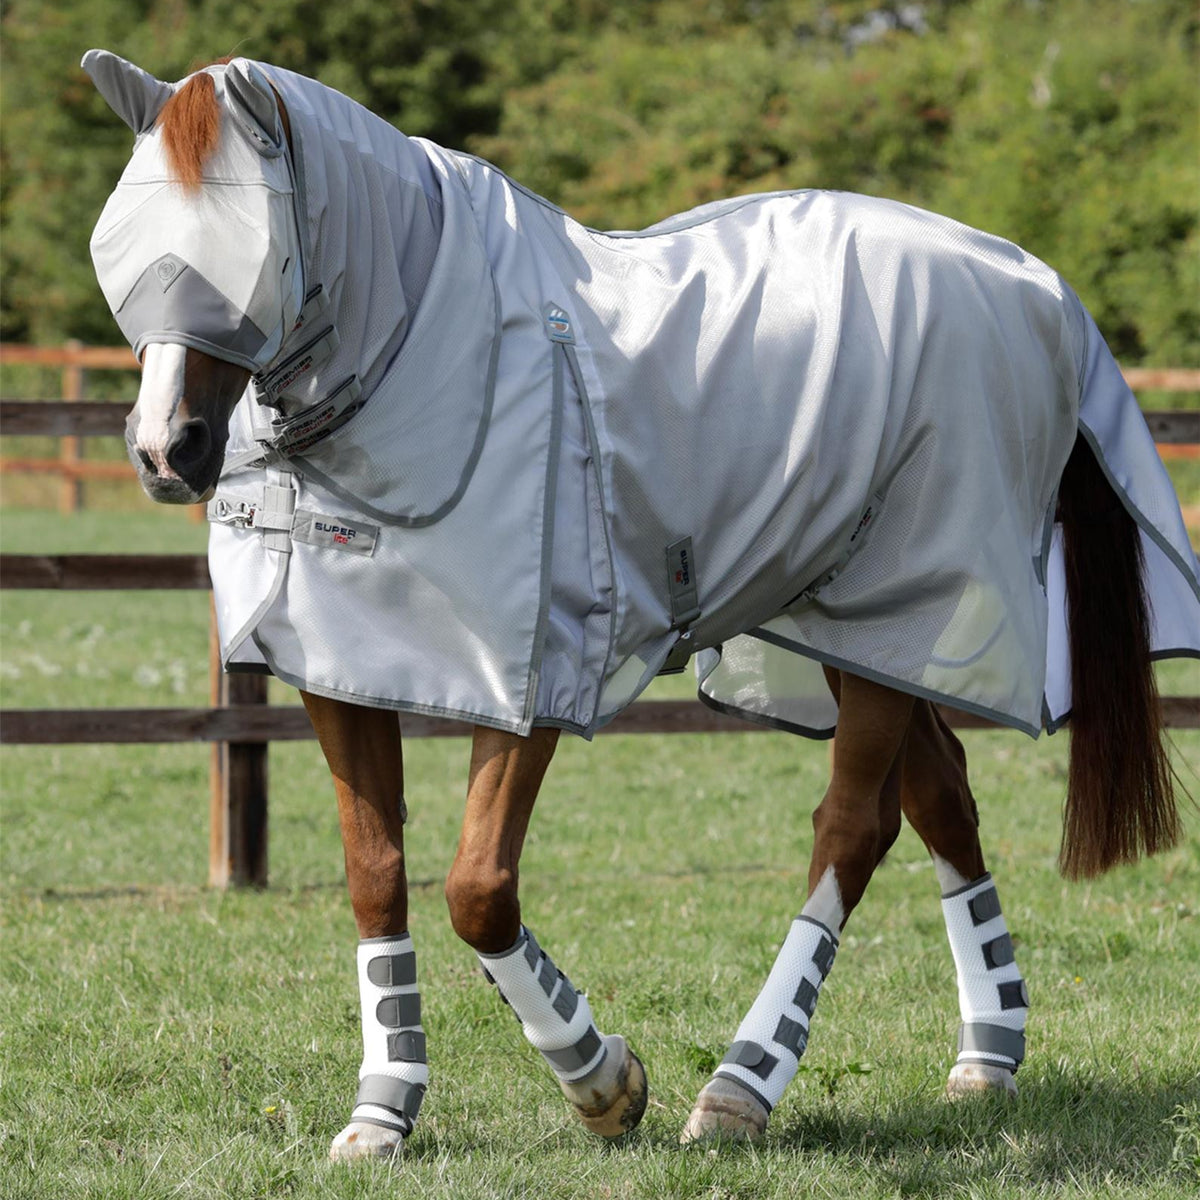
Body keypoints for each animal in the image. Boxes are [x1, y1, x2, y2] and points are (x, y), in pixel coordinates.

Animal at [82, 50, 1199, 1160]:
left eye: (254, 245)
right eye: (126, 238)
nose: (166, 448)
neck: (430, 355)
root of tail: (1033, 283)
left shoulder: (538, 672)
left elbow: (478, 890)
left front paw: (604, 1082)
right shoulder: (342, 667)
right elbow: (376, 873)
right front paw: (383, 1108)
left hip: (905, 598)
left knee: (852, 826)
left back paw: (742, 1087)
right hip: (860, 629)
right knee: (939, 802)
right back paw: (987, 1055)